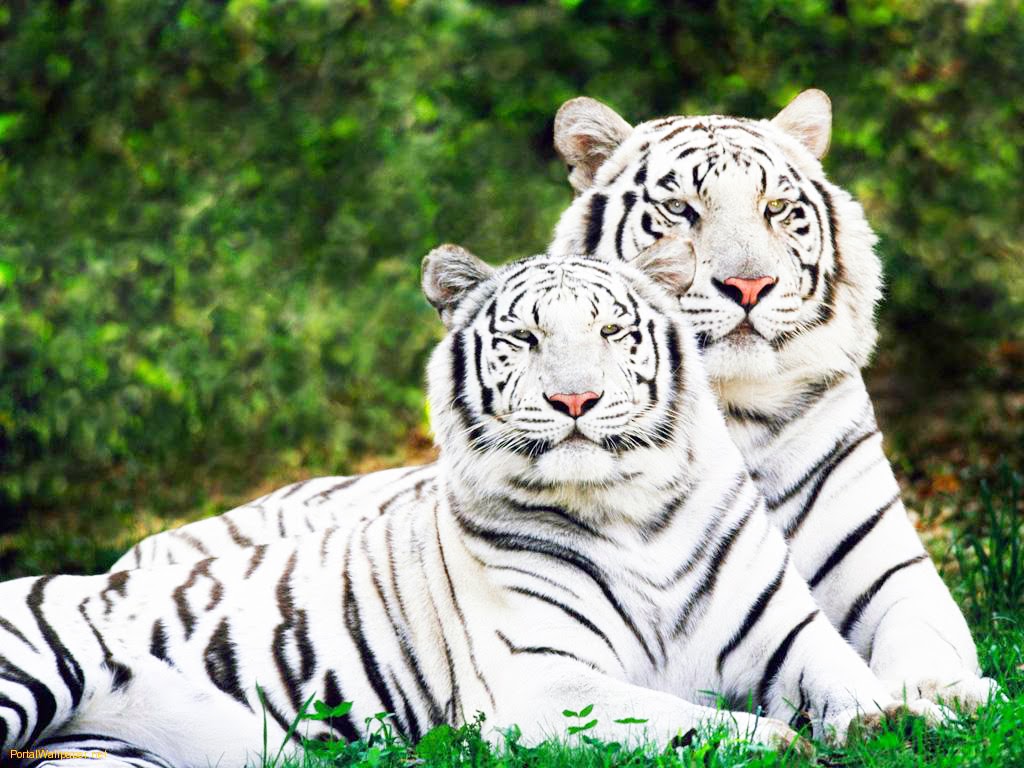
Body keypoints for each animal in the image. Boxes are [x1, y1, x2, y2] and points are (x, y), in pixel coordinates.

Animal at [2, 248, 944, 767]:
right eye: (524, 339)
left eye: (613, 333)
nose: (575, 401)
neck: (632, 512)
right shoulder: (538, 678)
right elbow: (685, 720)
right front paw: (780, 743)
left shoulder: (788, 635)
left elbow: (852, 684)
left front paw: (910, 719)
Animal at [112, 90, 996, 711]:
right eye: (681, 210)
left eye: (779, 209)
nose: (749, 286)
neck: (731, 412)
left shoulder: (892, 572)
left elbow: (925, 639)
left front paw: (946, 695)